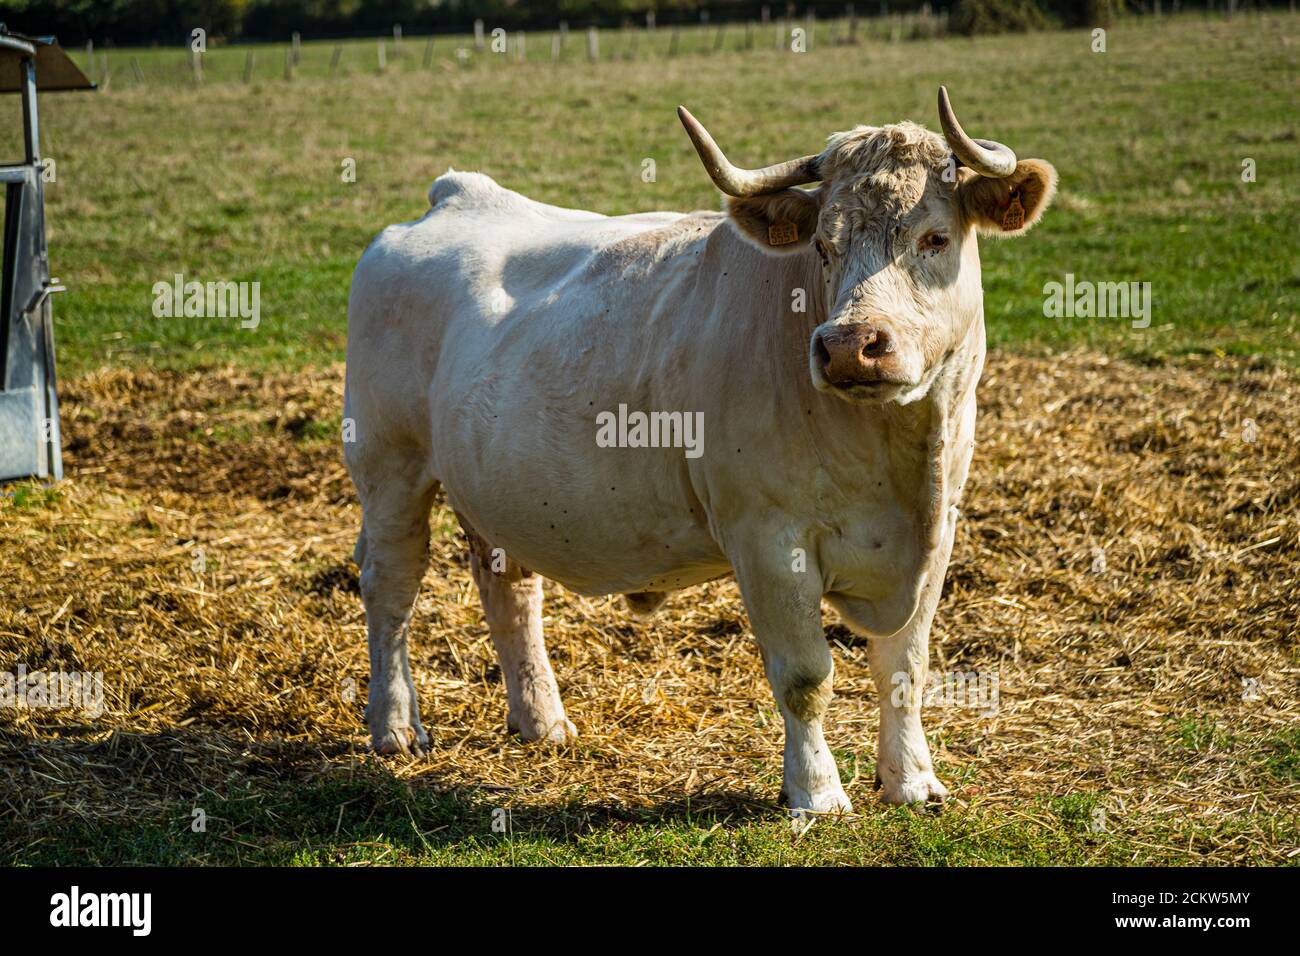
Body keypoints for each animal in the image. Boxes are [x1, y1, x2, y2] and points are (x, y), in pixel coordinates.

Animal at [343, 88, 1057, 813]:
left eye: (935, 237)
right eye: (823, 246)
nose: (849, 345)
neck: (898, 462)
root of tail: (458, 193)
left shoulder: (939, 531)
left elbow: (904, 667)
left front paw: (911, 781)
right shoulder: (767, 537)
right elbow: (806, 677)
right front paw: (816, 793)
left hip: (493, 487)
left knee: (509, 587)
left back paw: (542, 721)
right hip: (389, 465)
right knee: (391, 584)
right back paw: (395, 726)